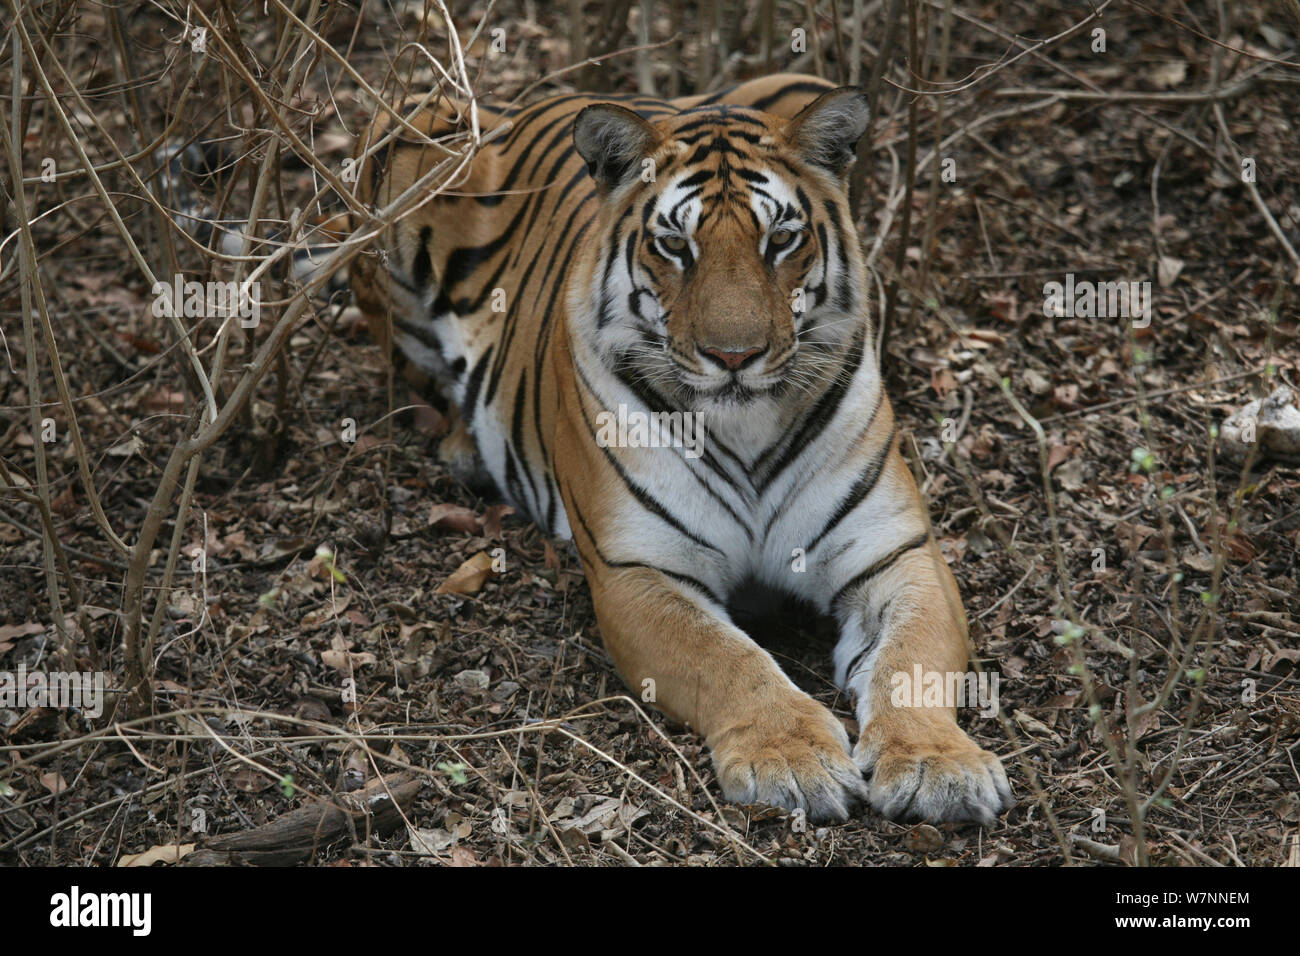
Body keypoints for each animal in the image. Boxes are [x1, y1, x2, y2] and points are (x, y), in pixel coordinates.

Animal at [350, 73, 1014, 825]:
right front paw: (792, 757)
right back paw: (463, 447)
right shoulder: (639, 569)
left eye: (781, 239)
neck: (747, 429)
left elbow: (913, 661)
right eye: (674, 245)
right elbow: (728, 660)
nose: (735, 356)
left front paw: (937, 764)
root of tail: (517, 100)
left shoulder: (897, 552)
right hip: (398, 149)